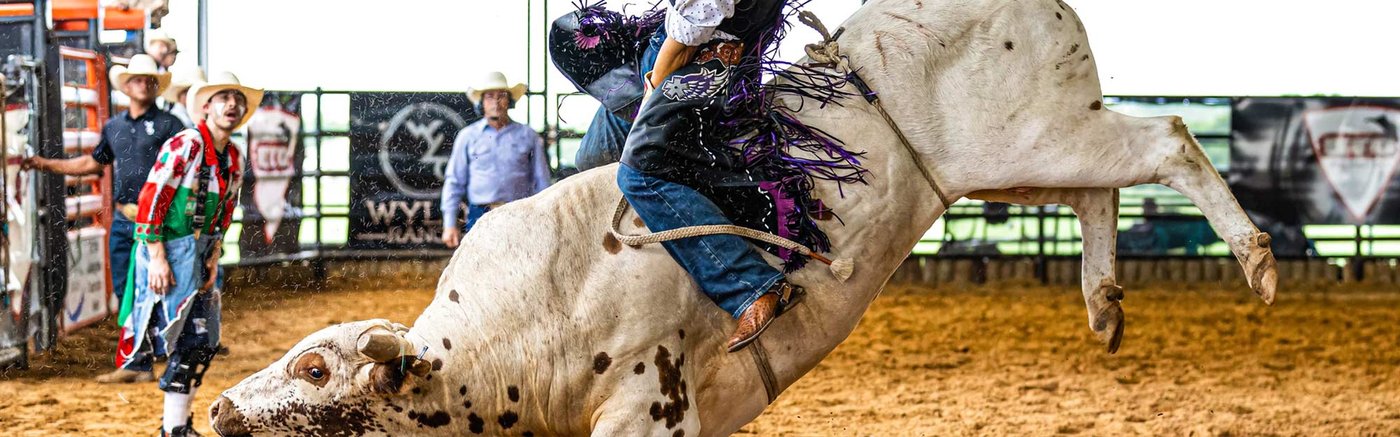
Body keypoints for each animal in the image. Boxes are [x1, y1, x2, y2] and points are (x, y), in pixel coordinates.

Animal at [211, 0, 1278, 435]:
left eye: (314, 368)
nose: (220, 407)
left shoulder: (651, 404)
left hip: (1034, 135)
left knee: (1167, 141)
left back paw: (1258, 259)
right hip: (1022, 156)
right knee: (1103, 183)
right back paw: (1104, 305)